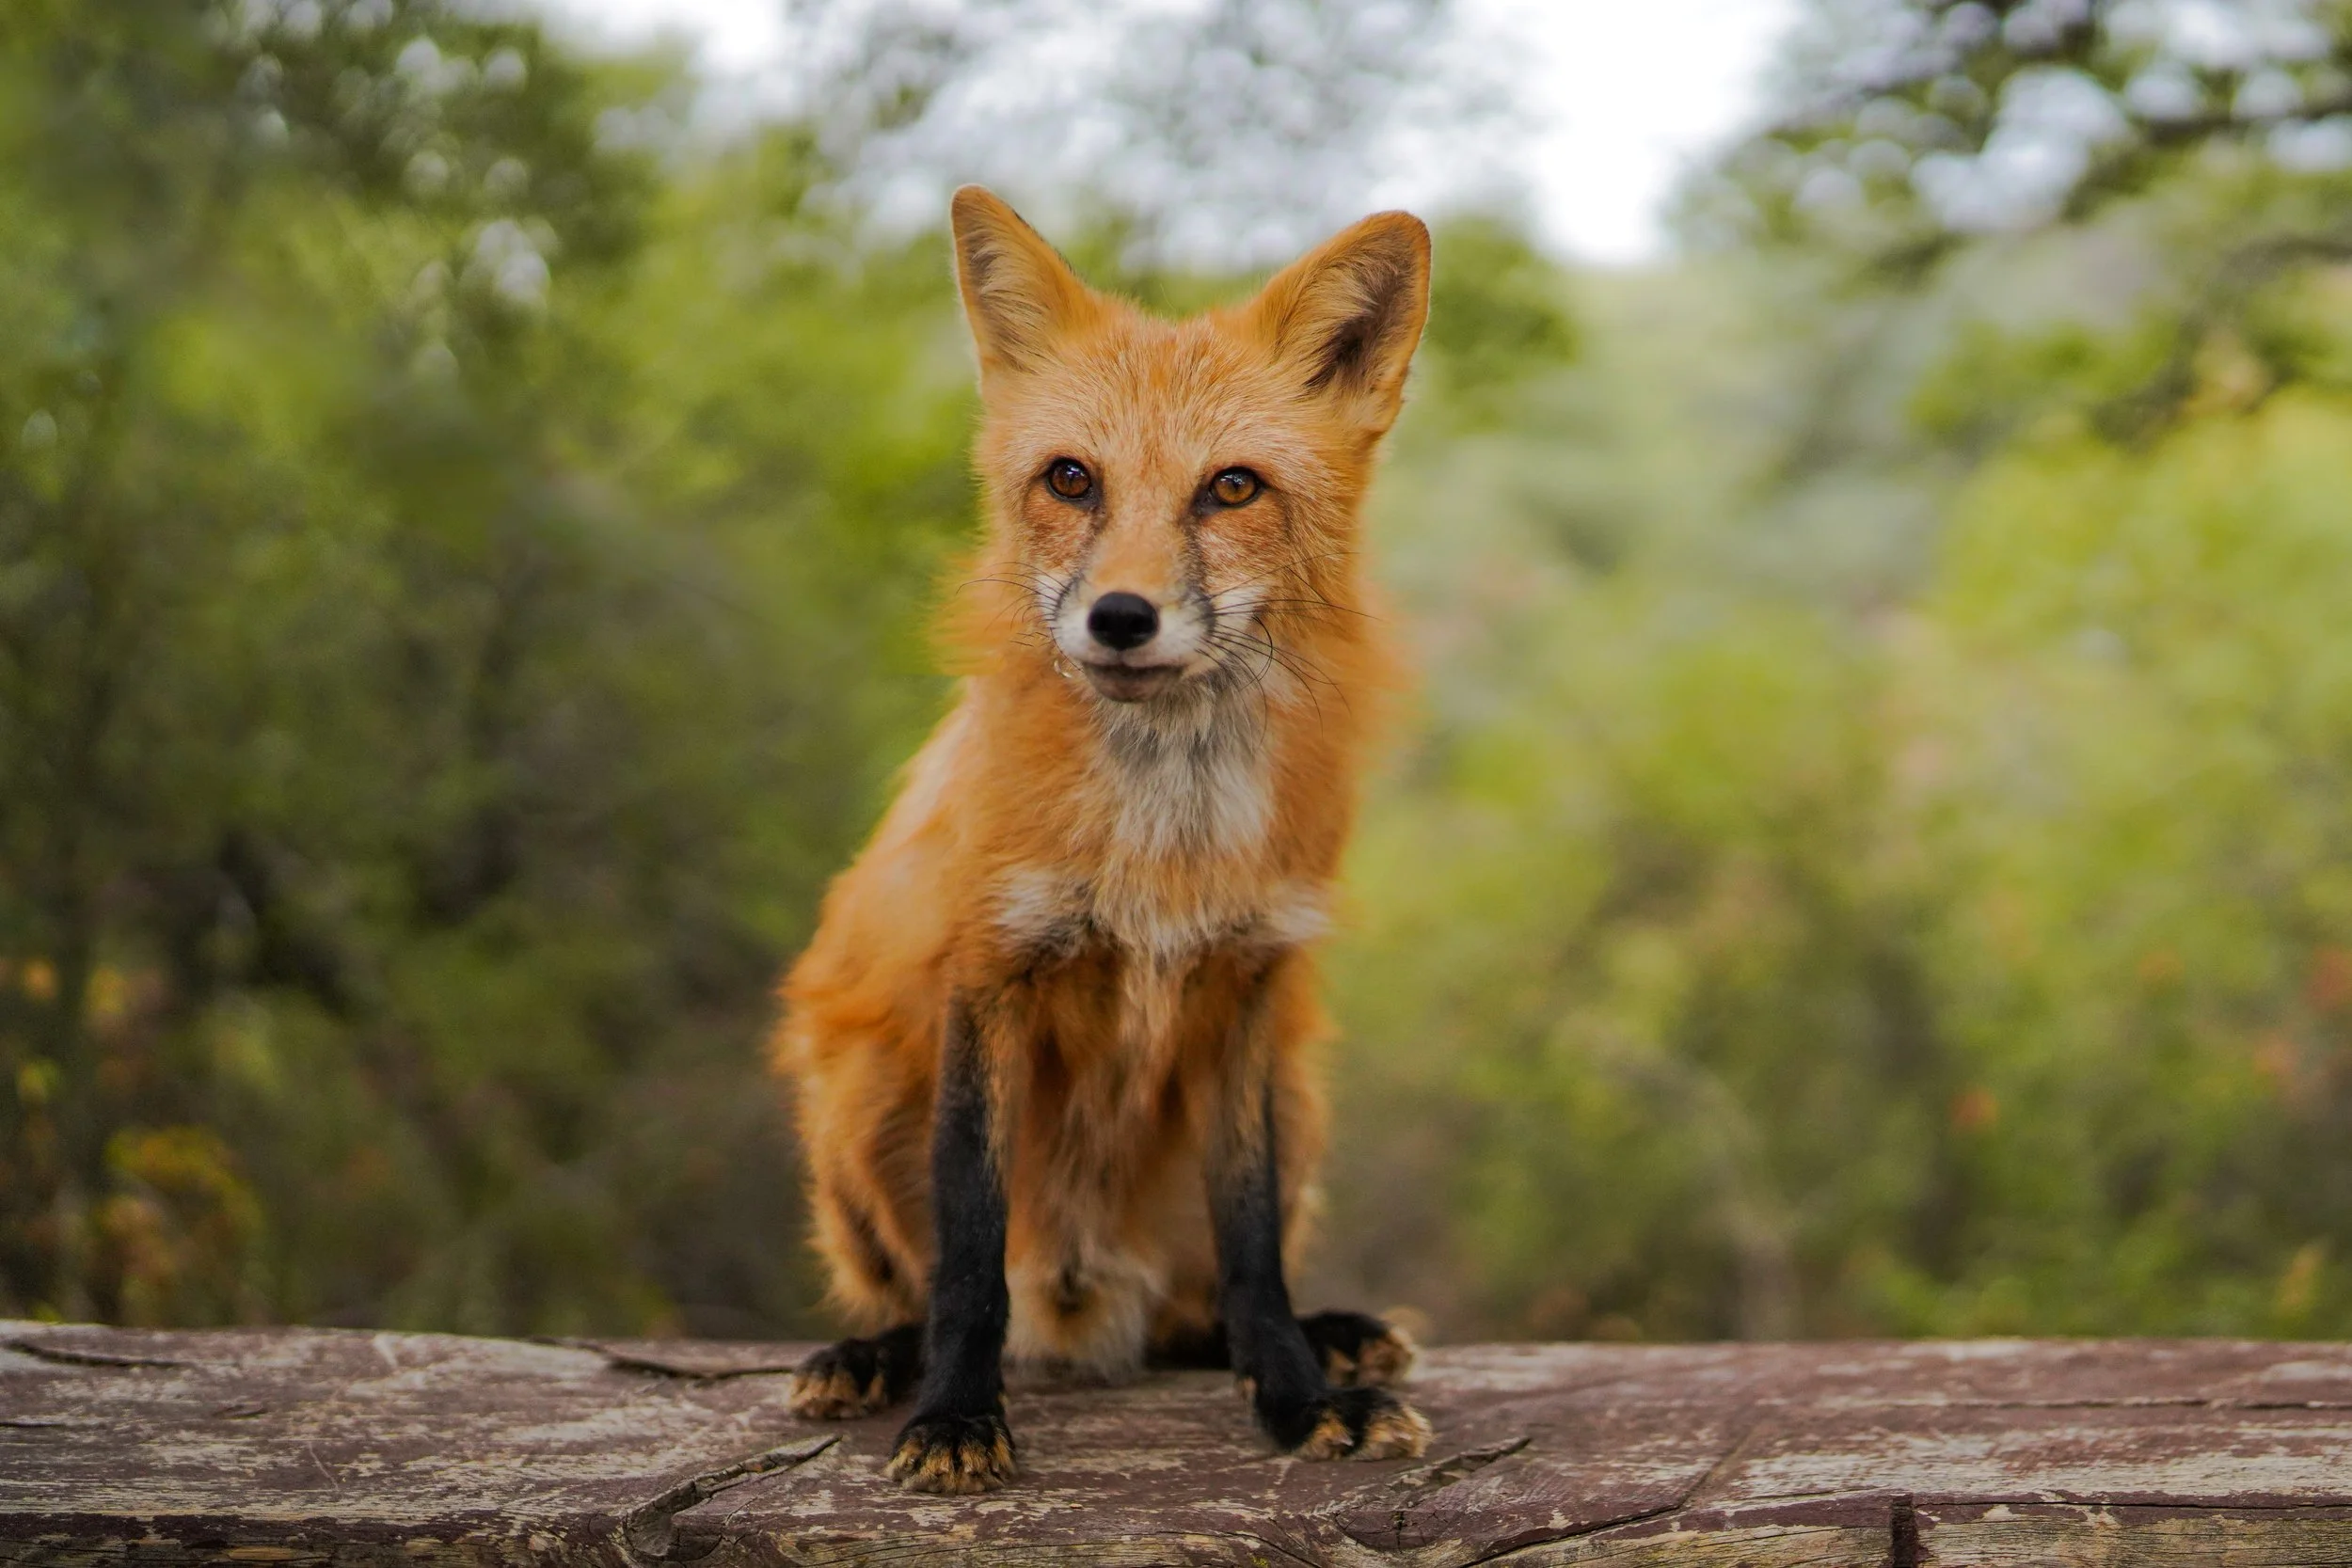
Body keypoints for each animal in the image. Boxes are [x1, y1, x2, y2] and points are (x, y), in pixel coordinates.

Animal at [772, 185, 1433, 1494]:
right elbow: (969, 1251)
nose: (1120, 618)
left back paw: (1316, 1339)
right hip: (854, 1079)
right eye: (1070, 478)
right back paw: (875, 1356)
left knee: (1202, 1311)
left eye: (1232, 489)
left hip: (1298, 1092)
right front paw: (956, 1415)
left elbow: (1251, 1248)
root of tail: (1084, 1310)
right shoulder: (989, 971)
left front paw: (1293, 1397)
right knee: (916, 1289)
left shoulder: (1245, 988)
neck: (1162, 848)